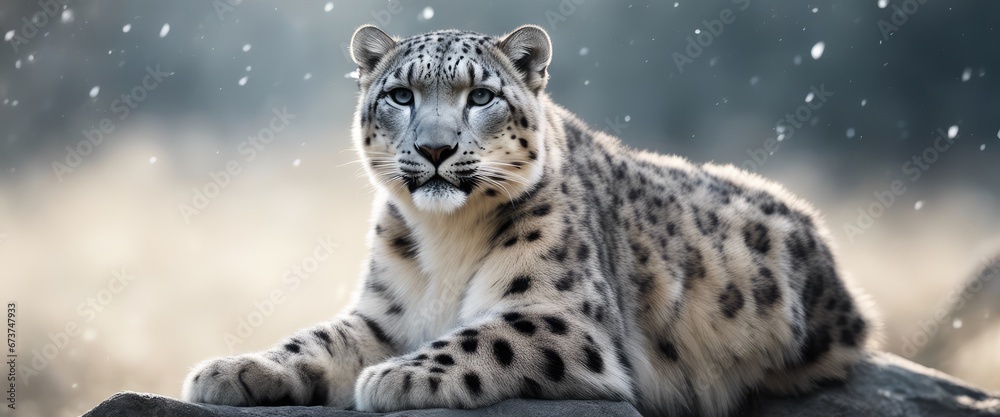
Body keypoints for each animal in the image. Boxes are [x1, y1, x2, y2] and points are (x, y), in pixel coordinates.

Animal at [182, 24, 877, 416]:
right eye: (400, 95)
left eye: (481, 96)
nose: (435, 148)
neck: (445, 241)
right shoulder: (385, 315)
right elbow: (319, 340)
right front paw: (235, 369)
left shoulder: (565, 320)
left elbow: (483, 337)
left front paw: (394, 377)